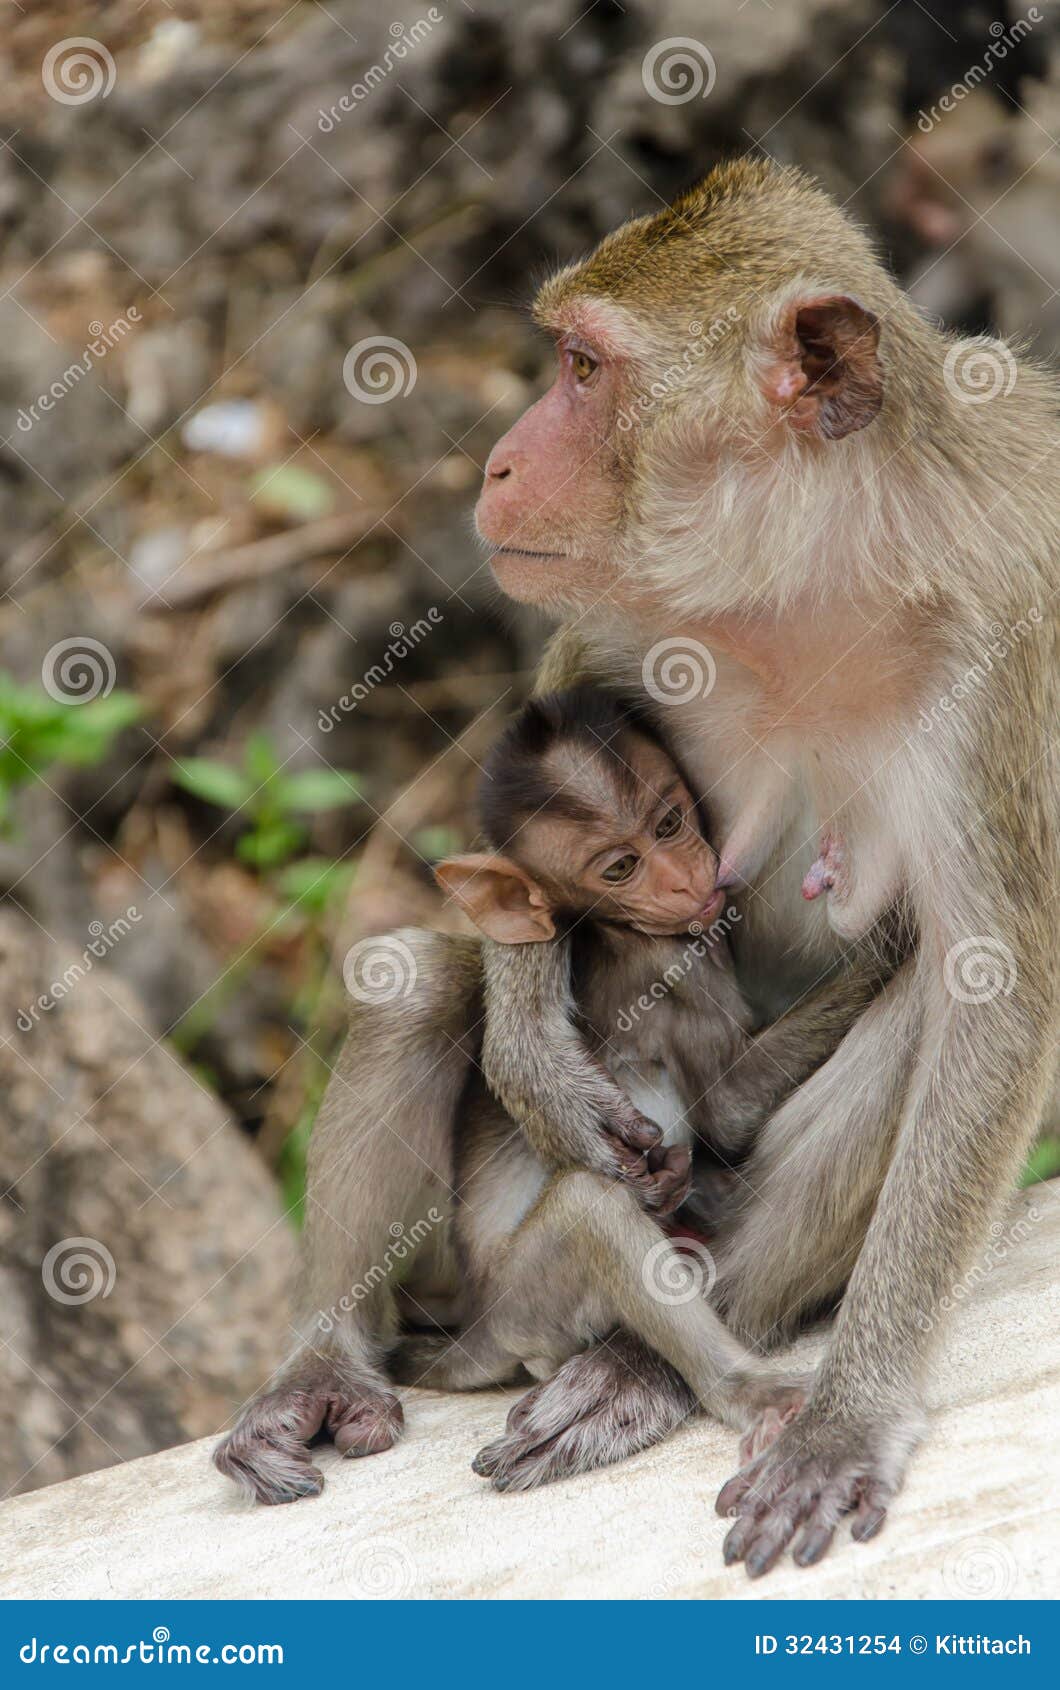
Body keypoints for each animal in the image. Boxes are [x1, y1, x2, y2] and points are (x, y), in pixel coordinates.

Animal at [217, 158, 1058, 1577]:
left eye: (581, 368)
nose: (500, 460)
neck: (831, 573)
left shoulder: (1007, 655)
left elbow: (991, 998)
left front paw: (851, 1415)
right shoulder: (636, 606)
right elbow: (536, 784)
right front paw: (535, 1058)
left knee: (908, 1028)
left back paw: (646, 1367)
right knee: (409, 979)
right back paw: (326, 1366)